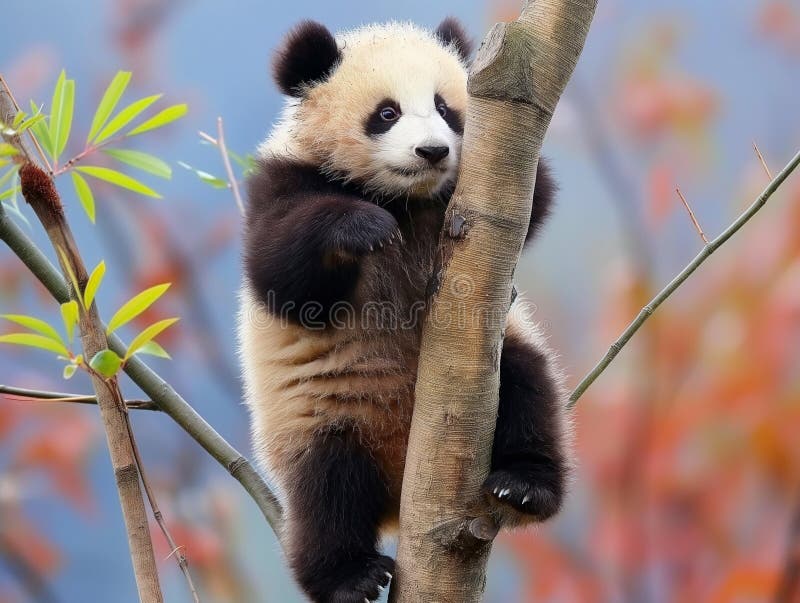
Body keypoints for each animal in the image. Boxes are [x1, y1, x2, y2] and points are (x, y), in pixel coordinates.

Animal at [238, 18, 572, 603]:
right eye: (386, 113)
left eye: (444, 107)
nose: (433, 151)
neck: (406, 199)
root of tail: (400, 498)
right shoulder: (282, 183)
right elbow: (281, 273)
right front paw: (361, 227)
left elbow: (538, 202)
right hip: (325, 412)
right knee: (326, 489)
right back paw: (349, 577)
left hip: (504, 360)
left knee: (528, 386)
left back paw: (525, 486)